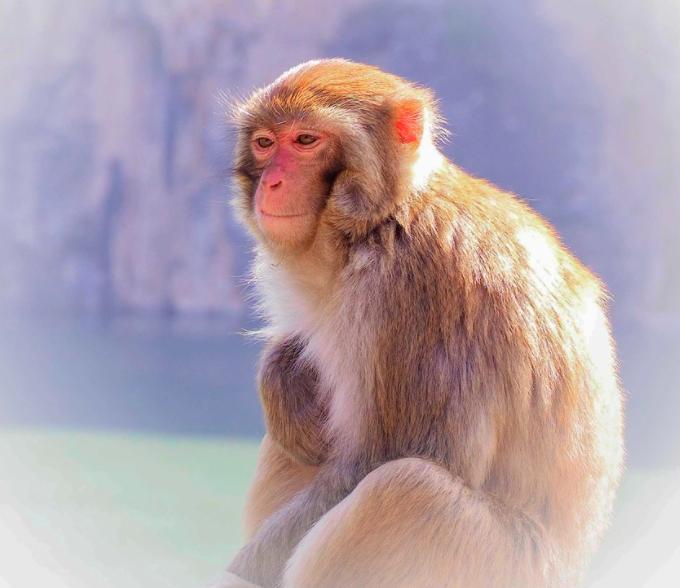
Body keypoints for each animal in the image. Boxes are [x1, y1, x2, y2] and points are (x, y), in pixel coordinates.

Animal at [219, 59, 624, 588]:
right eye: (265, 142)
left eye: (306, 140)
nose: (272, 183)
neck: (387, 216)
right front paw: (282, 371)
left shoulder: (411, 291)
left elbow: (378, 462)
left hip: (500, 561)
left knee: (408, 488)